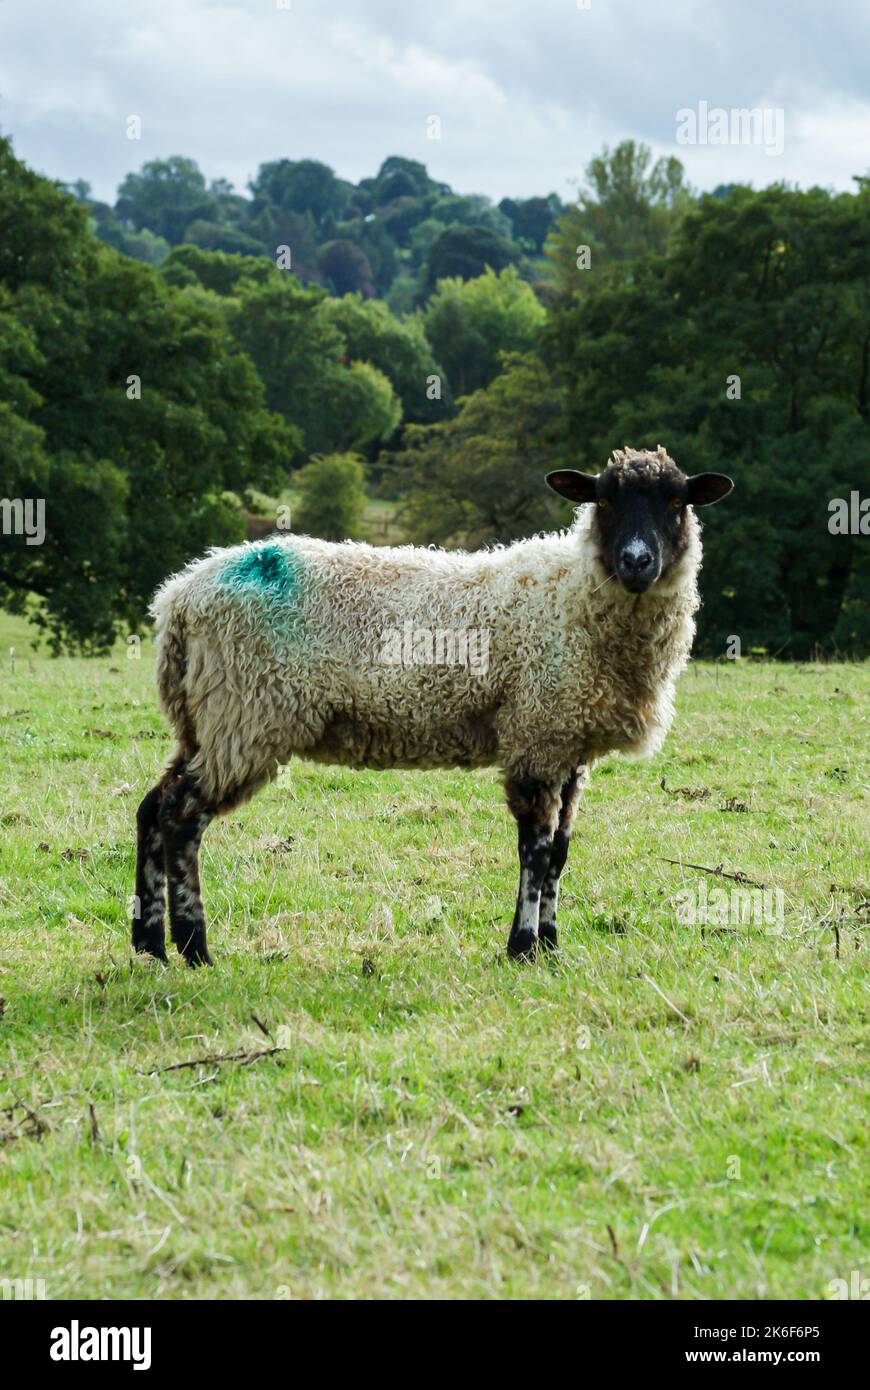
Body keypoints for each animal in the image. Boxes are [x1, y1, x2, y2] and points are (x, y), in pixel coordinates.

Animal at [132, 446, 733, 966]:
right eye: (604, 501)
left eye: (677, 502)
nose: (637, 562)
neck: (575, 597)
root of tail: (179, 597)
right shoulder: (536, 733)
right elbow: (536, 852)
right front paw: (522, 947)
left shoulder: (568, 742)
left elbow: (560, 852)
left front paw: (552, 946)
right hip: (245, 713)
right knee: (182, 815)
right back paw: (194, 947)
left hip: (204, 720)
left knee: (152, 806)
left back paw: (149, 942)